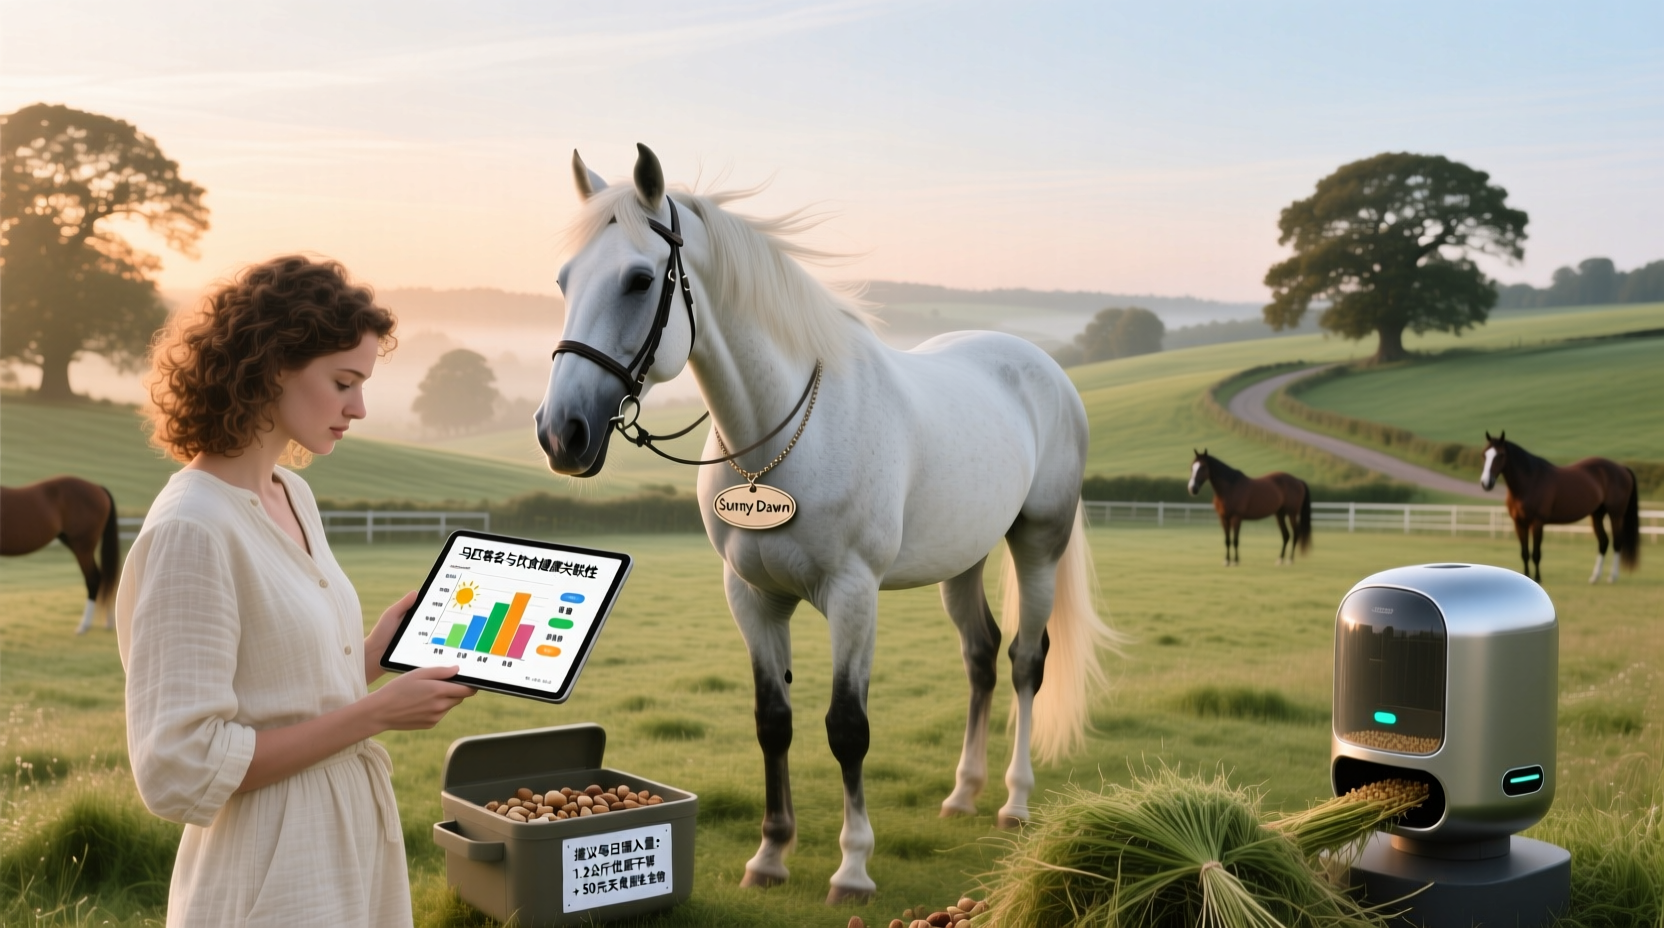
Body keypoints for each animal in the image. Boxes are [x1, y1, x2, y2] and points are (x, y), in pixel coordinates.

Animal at [534, 145, 1122, 903]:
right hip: (962, 559)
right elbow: (772, 722)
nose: (561, 433)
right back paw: (963, 793)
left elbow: (847, 727)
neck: (778, 439)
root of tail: (1042, 366)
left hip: (1038, 542)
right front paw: (770, 855)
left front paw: (852, 867)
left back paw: (1014, 802)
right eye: (564, 280)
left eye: (638, 280)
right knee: (981, 656)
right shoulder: (751, 597)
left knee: (1024, 661)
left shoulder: (852, 595)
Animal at [1480, 431, 1640, 583]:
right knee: (1603, 542)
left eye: (1500, 455)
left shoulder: (1537, 523)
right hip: (1597, 515)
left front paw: (1537, 578)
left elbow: (1536, 554)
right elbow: (1524, 554)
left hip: (1616, 515)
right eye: (1484, 454)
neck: (1531, 480)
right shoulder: (1519, 523)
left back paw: (1613, 577)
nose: (1486, 483)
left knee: (1617, 543)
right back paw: (1594, 578)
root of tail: (1621, 468)